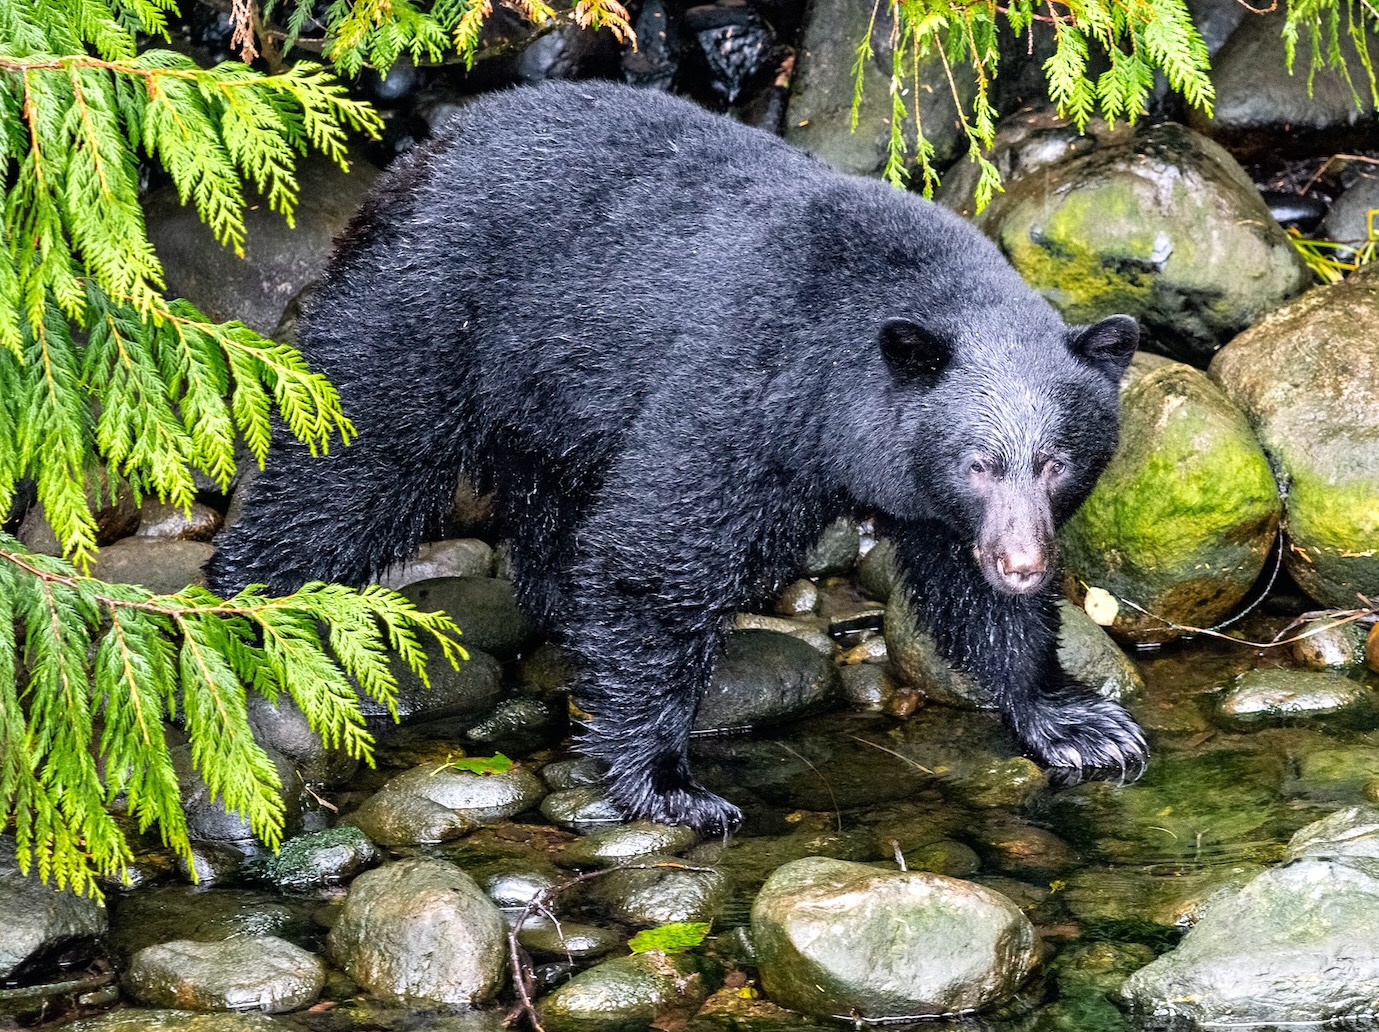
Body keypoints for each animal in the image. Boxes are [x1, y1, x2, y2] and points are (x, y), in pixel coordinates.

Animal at [206, 79, 1147, 835]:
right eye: (977, 462)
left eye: (1056, 461)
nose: (1025, 564)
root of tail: (420, 156)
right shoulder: (745, 393)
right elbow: (655, 553)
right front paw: (668, 782)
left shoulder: (932, 503)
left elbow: (967, 593)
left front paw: (1074, 721)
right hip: (428, 316)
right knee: (353, 470)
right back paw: (248, 609)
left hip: (550, 392)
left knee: (547, 503)